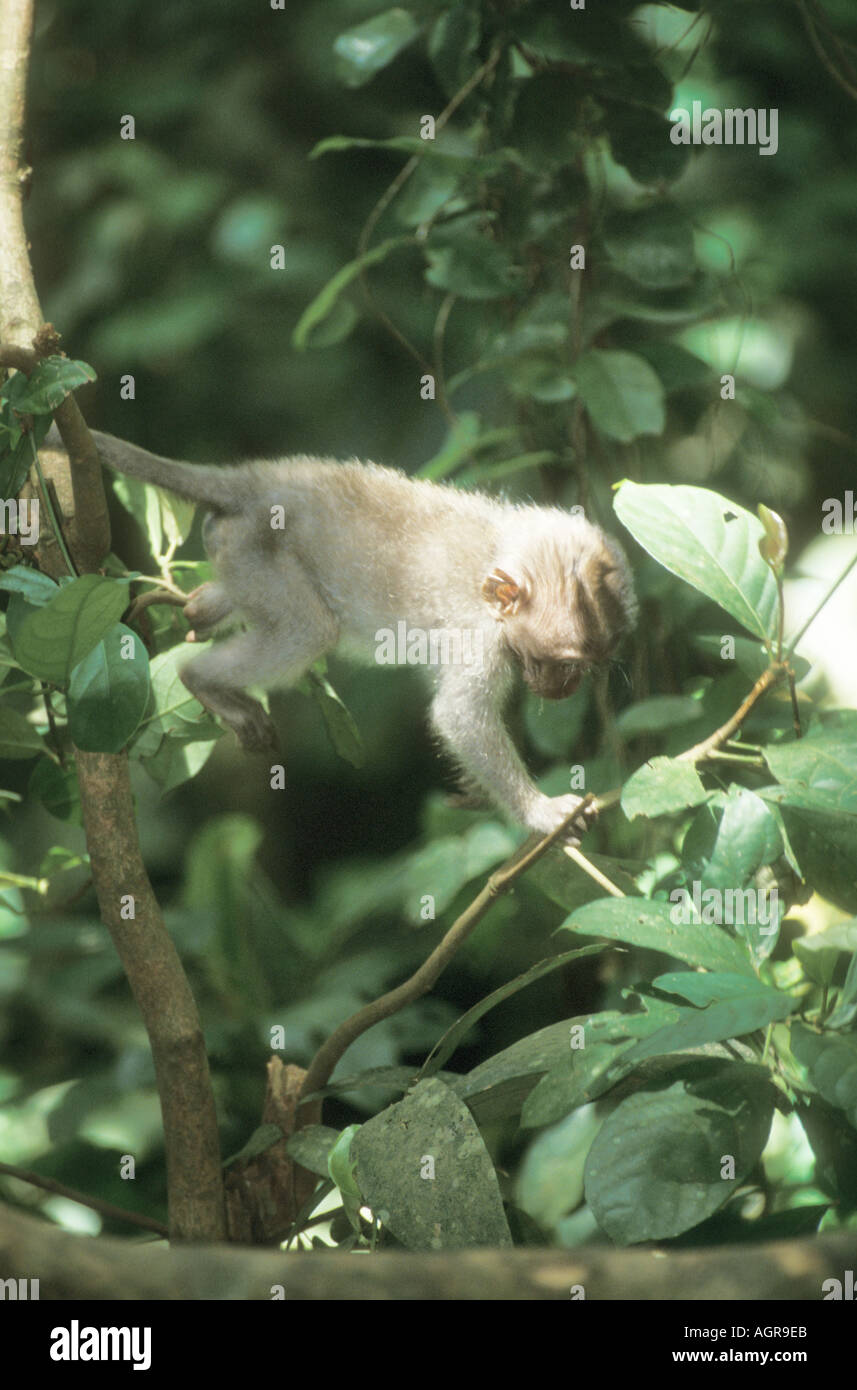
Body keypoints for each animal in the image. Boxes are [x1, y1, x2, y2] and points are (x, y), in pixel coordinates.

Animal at [76, 428, 636, 840]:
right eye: (565, 663)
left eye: (587, 668)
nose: (565, 689)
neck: (497, 563)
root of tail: (257, 480)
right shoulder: (481, 637)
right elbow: (459, 716)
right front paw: (539, 813)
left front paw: (476, 792)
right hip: (258, 551)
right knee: (307, 631)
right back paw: (201, 679)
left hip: (234, 550)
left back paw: (200, 609)